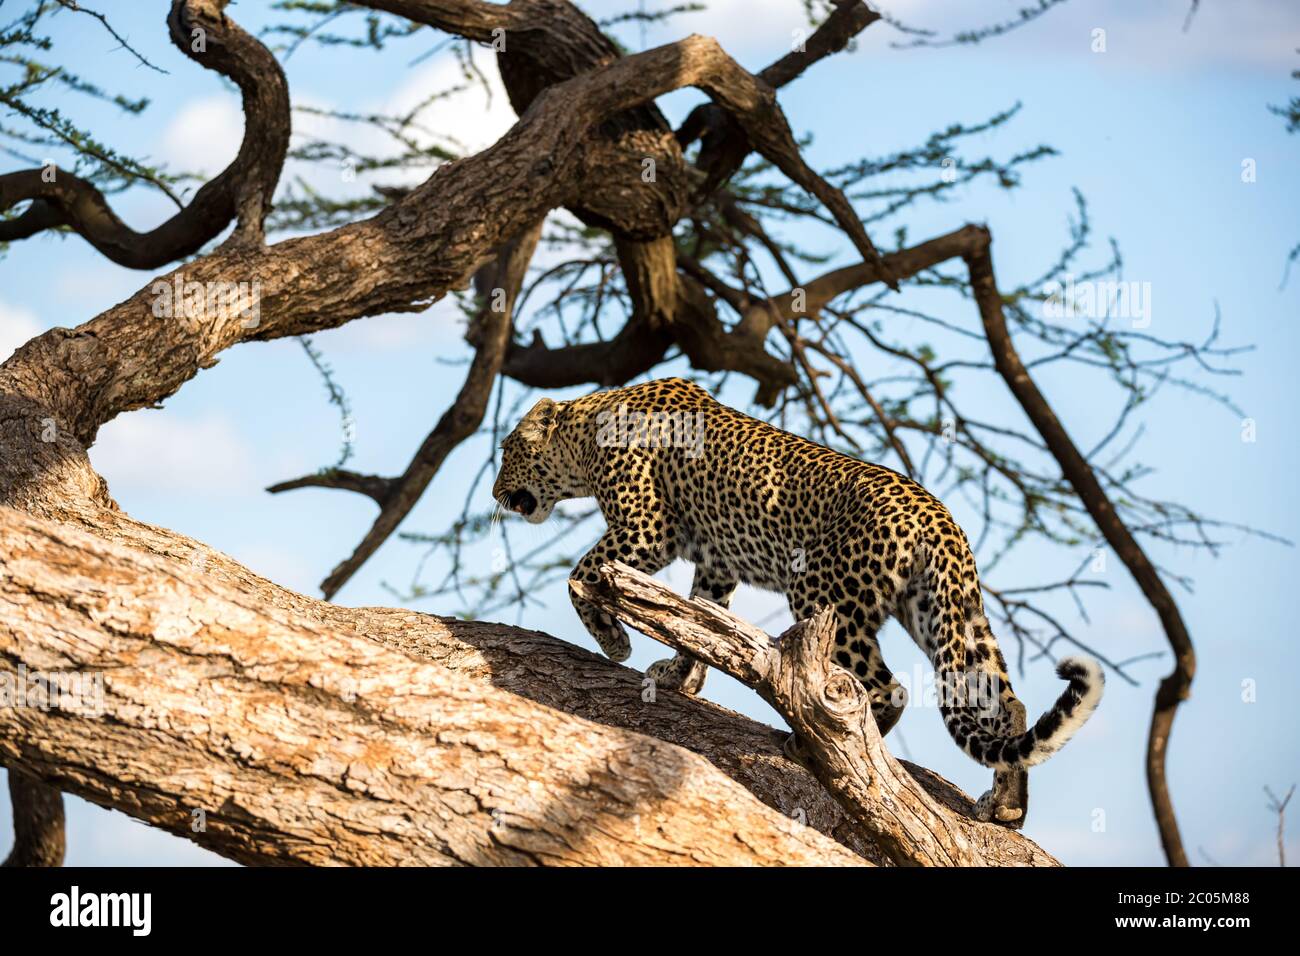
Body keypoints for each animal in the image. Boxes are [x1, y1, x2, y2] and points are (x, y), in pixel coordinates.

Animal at [492, 377, 1103, 824]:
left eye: (506, 451)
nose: (495, 493)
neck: (583, 433)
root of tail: (939, 517)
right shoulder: (714, 562)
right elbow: (699, 613)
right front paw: (679, 675)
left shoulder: (647, 528)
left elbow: (580, 572)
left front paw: (612, 638)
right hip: (944, 613)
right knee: (1006, 704)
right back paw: (1006, 807)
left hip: (824, 595)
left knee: (885, 690)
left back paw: (830, 757)